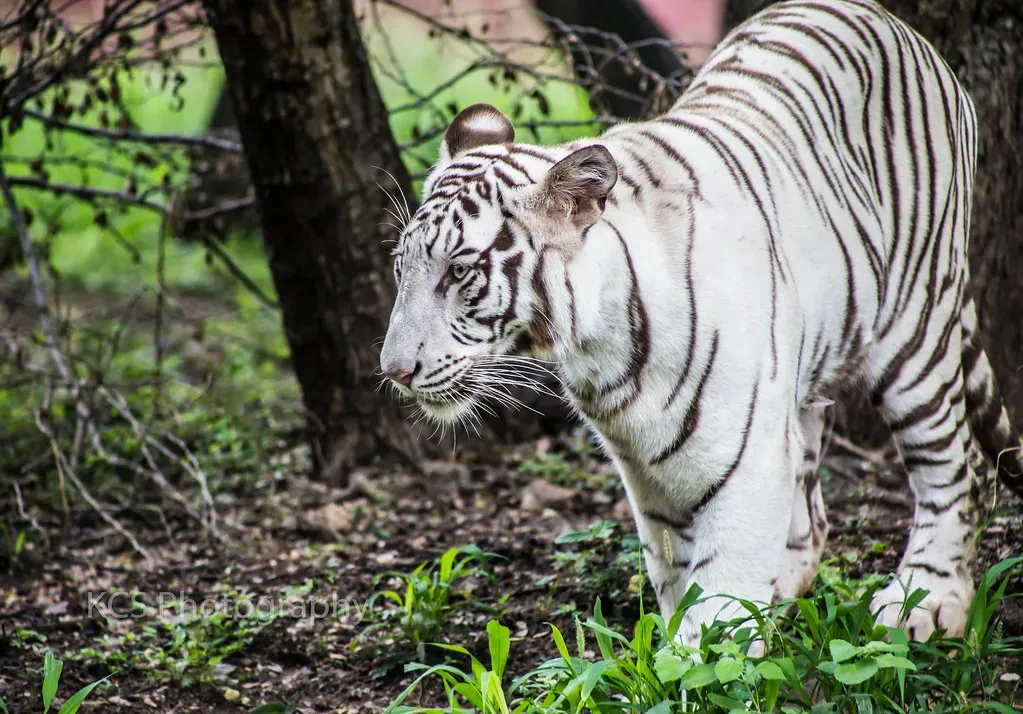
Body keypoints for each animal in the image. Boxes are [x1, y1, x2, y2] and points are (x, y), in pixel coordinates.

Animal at [379, 0, 1023, 647]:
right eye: (401, 267)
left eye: (460, 272)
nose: (393, 371)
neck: (601, 350)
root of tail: (893, 24)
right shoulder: (650, 474)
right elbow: (677, 578)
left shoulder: (749, 458)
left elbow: (719, 598)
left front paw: (704, 656)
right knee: (813, 513)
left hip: (915, 332)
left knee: (957, 466)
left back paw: (926, 601)